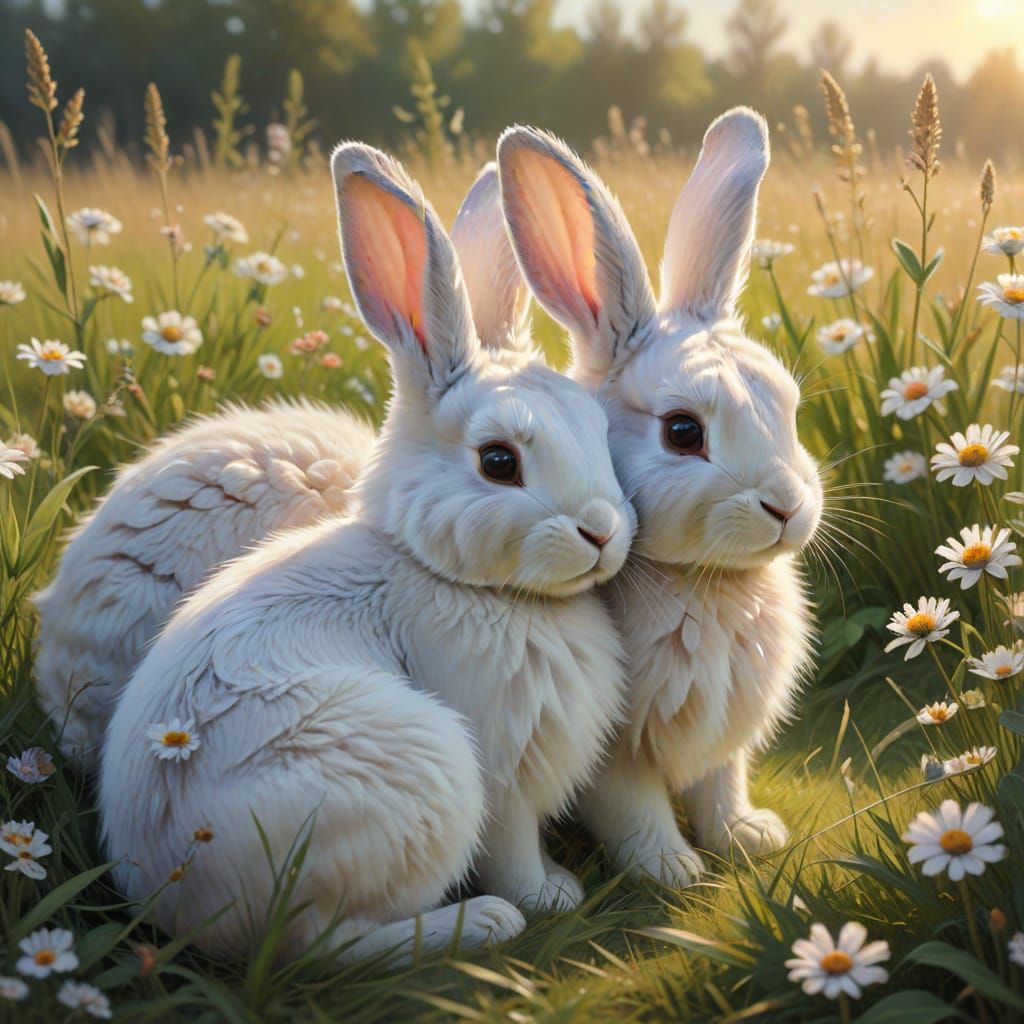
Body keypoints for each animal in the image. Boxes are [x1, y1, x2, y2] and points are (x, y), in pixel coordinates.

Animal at [97, 142, 635, 965]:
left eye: (599, 431)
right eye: (499, 462)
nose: (601, 531)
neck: (448, 575)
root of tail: (179, 894)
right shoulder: (503, 772)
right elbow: (512, 847)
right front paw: (548, 897)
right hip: (413, 786)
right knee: (326, 943)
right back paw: (482, 923)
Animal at [496, 109, 822, 887]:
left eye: (788, 408)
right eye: (682, 432)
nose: (786, 507)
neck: (706, 584)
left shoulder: (721, 743)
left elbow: (720, 786)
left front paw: (748, 837)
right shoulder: (614, 755)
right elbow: (633, 809)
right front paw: (672, 870)